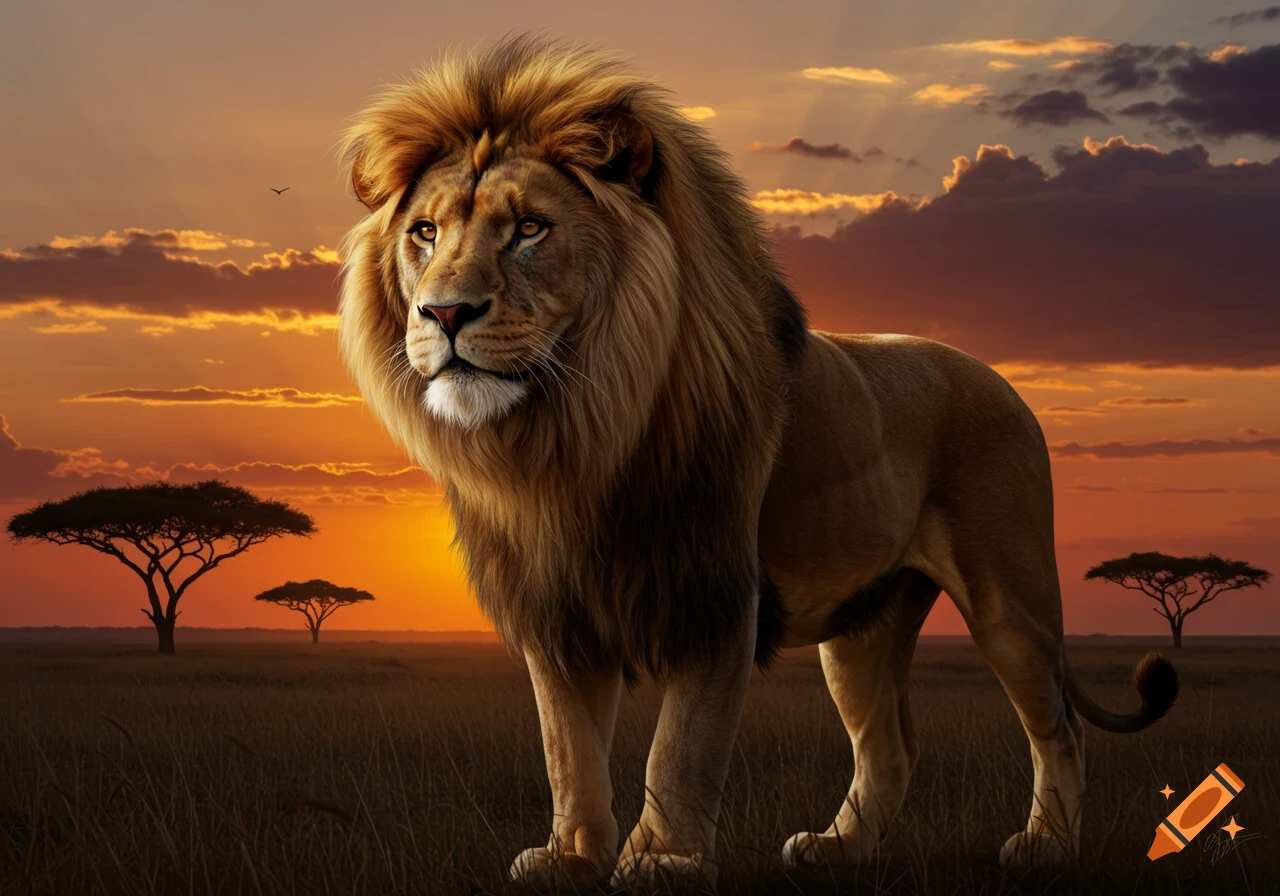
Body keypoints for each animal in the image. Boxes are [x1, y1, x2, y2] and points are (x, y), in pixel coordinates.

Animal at [336, 35, 1178, 888]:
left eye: (531, 228)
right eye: (425, 233)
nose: (443, 312)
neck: (571, 440)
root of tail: (1002, 380)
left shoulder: (714, 591)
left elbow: (682, 746)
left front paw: (663, 860)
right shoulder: (556, 610)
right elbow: (568, 750)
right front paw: (571, 858)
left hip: (1009, 595)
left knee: (1058, 726)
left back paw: (1046, 844)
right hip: (865, 624)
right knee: (891, 745)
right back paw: (838, 847)